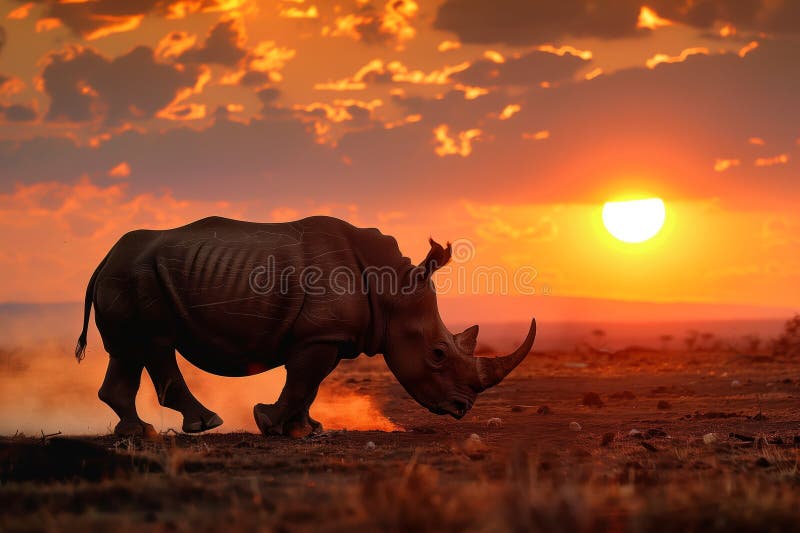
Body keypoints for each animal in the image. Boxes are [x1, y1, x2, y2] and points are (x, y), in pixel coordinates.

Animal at [75, 216, 536, 438]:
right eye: (438, 353)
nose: (463, 409)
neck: (392, 289)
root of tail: (103, 256)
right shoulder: (320, 335)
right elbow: (301, 381)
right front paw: (267, 422)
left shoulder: (326, 336)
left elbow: (310, 385)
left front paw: (306, 430)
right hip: (136, 275)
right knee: (156, 343)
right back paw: (206, 424)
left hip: (129, 275)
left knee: (128, 349)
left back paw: (140, 433)